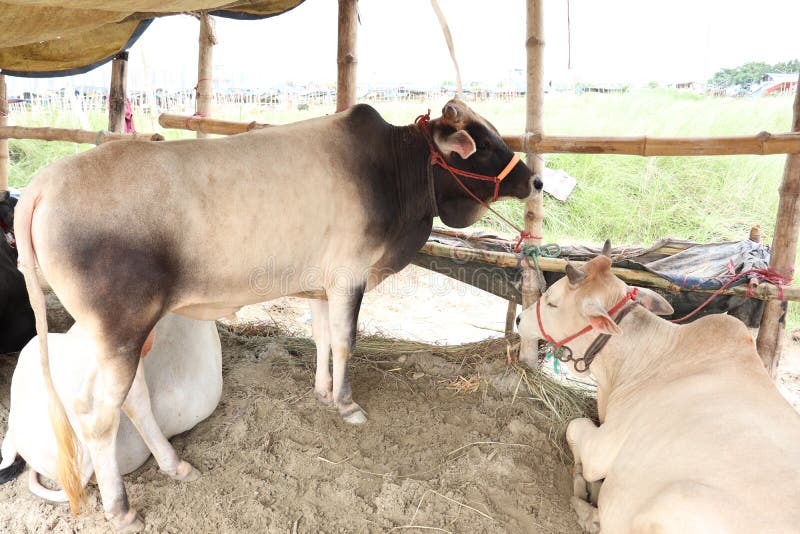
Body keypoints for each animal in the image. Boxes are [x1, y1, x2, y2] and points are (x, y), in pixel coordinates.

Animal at [516, 250, 800, 533]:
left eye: (552, 303)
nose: (519, 319)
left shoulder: (601, 449)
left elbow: (574, 427)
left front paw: (582, 479)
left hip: (672, 503)